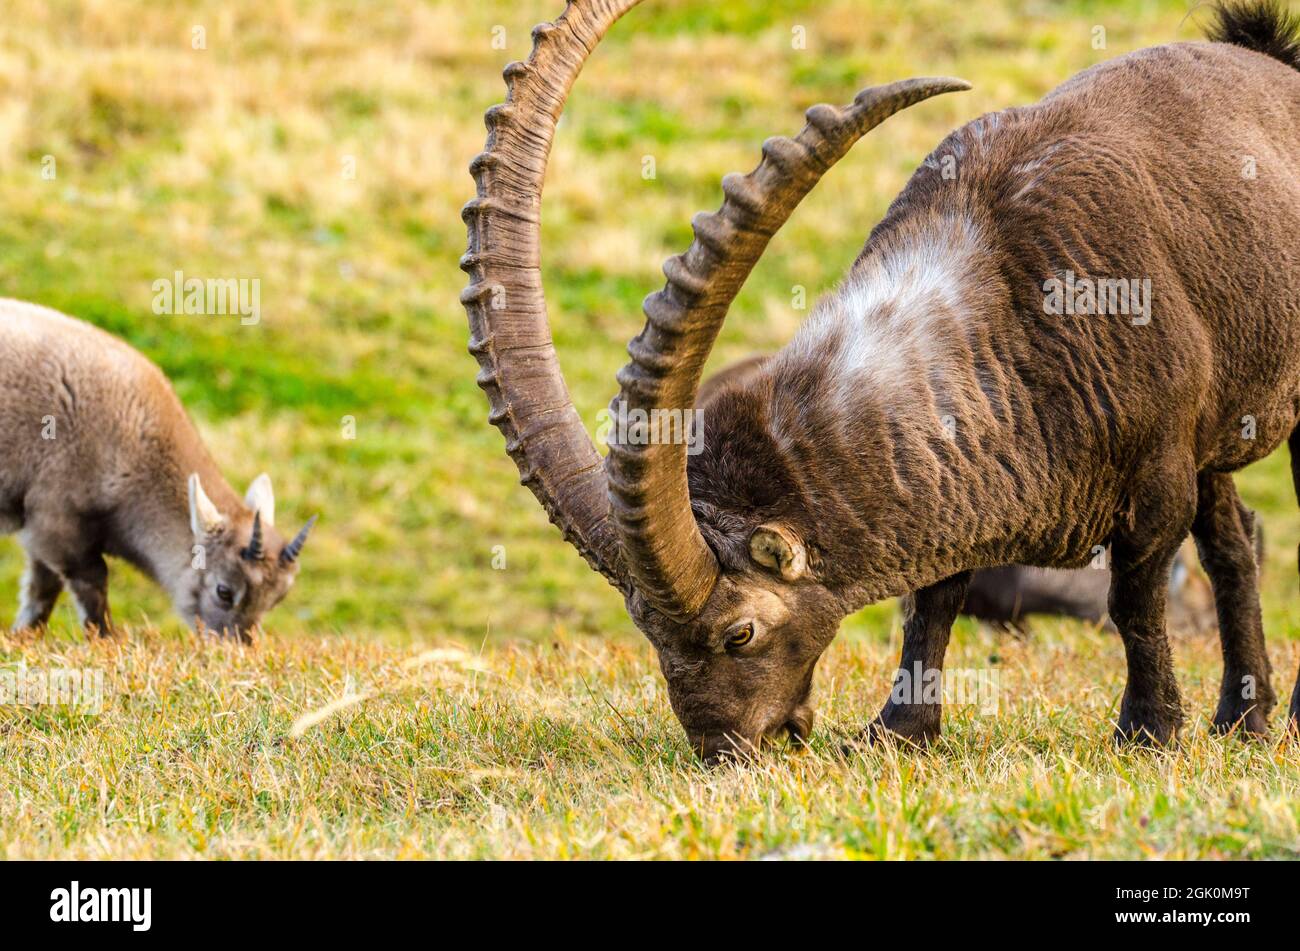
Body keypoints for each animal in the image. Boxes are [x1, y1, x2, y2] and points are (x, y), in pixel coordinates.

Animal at [0, 300, 315, 641]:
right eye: (224, 590)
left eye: (276, 598)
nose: (235, 646)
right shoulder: (57, 523)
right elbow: (90, 584)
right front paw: (106, 638)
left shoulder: (43, 536)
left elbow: (42, 591)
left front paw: (24, 636)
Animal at [462, 0, 1300, 760]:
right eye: (646, 631)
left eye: (739, 631)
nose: (724, 748)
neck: (1010, 314)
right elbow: (934, 596)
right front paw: (899, 731)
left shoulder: (1158, 473)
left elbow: (1133, 596)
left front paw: (1148, 730)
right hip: (1219, 431)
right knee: (1235, 537)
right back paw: (1244, 717)